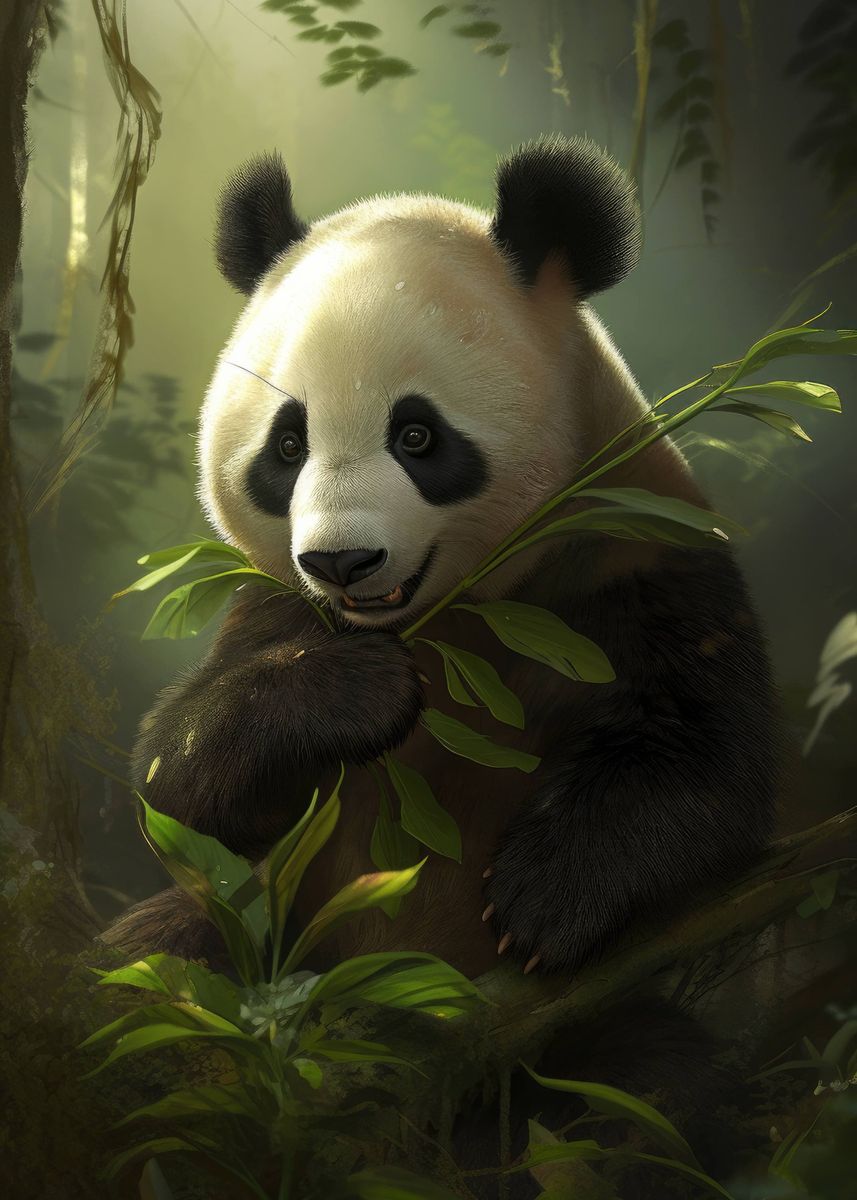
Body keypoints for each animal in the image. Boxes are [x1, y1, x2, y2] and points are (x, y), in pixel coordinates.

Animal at [109, 136, 779, 992]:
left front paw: (546, 900)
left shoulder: (633, 548)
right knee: (163, 947)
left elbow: (703, 752)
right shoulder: (277, 608)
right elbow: (180, 786)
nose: (342, 561)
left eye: (416, 436)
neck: (444, 612)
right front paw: (361, 691)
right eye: (287, 446)